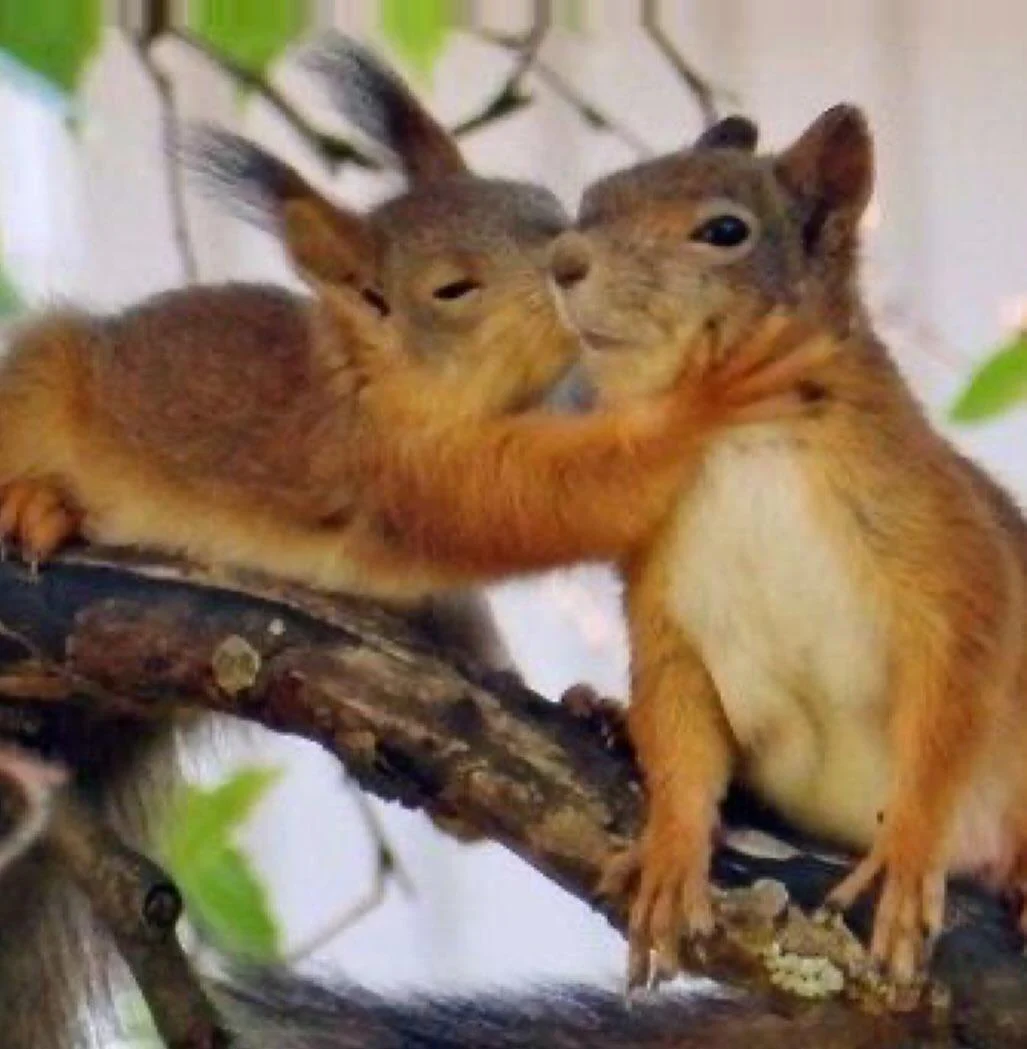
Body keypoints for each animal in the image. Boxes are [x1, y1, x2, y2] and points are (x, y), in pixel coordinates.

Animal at [326, 102, 1027, 991]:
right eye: (590, 202)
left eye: (724, 230)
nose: (563, 261)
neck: (738, 444)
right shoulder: (664, 598)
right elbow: (679, 726)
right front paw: (669, 849)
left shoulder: (945, 548)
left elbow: (953, 697)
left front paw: (906, 849)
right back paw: (604, 714)